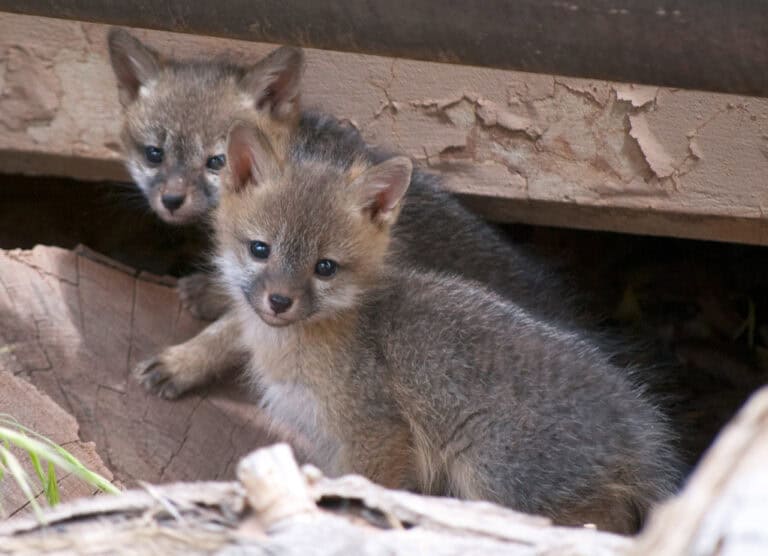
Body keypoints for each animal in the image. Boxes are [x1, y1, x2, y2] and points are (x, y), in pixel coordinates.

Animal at [205, 121, 681, 534]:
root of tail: (637, 421)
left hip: (490, 478)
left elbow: (367, 491)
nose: (279, 301)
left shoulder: (378, 435)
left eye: (325, 268)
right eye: (260, 249)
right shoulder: (327, 441)